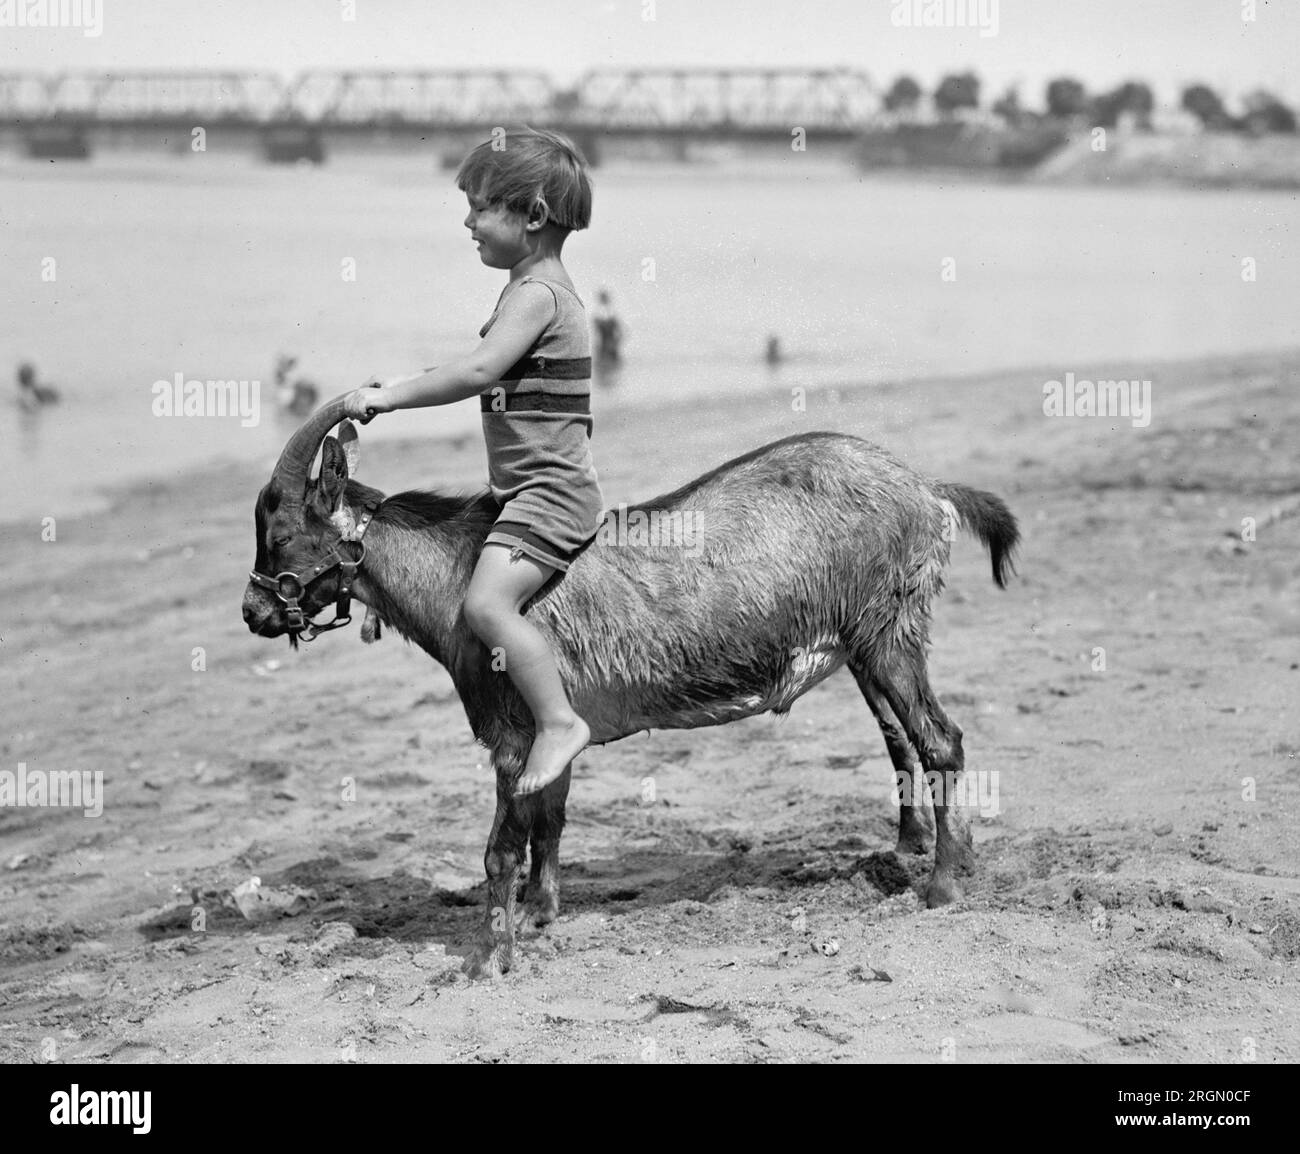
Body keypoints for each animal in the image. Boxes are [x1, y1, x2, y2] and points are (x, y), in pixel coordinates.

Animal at [242, 395, 1020, 978]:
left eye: (279, 536)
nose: (253, 612)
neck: (461, 574)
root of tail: (930, 491)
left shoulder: (512, 734)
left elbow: (501, 847)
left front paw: (490, 961)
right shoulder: (554, 733)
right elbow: (550, 821)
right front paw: (541, 914)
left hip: (888, 631)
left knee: (940, 740)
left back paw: (944, 884)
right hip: (869, 645)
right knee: (903, 739)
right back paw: (929, 854)